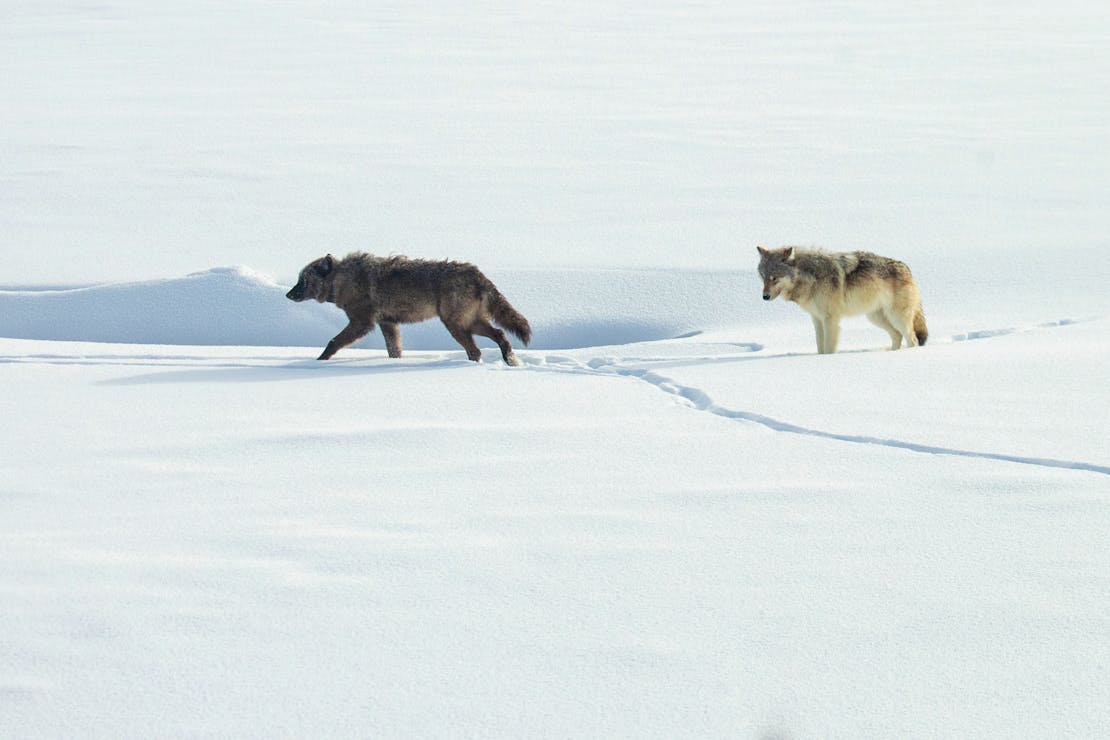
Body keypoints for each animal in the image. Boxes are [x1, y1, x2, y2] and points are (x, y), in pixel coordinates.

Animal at [286, 252, 531, 365]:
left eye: (302, 281)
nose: (287, 295)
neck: (342, 280)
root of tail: (477, 273)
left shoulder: (362, 323)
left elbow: (333, 341)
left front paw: (318, 362)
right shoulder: (388, 323)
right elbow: (394, 350)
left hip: (457, 325)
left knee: (477, 350)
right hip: (470, 323)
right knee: (499, 335)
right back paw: (509, 360)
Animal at [757, 245, 927, 354]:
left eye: (774, 278)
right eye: (763, 277)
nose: (764, 297)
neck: (811, 277)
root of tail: (907, 268)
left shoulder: (830, 319)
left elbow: (828, 348)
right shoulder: (817, 319)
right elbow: (820, 347)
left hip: (896, 318)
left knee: (912, 339)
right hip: (876, 318)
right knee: (897, 336)